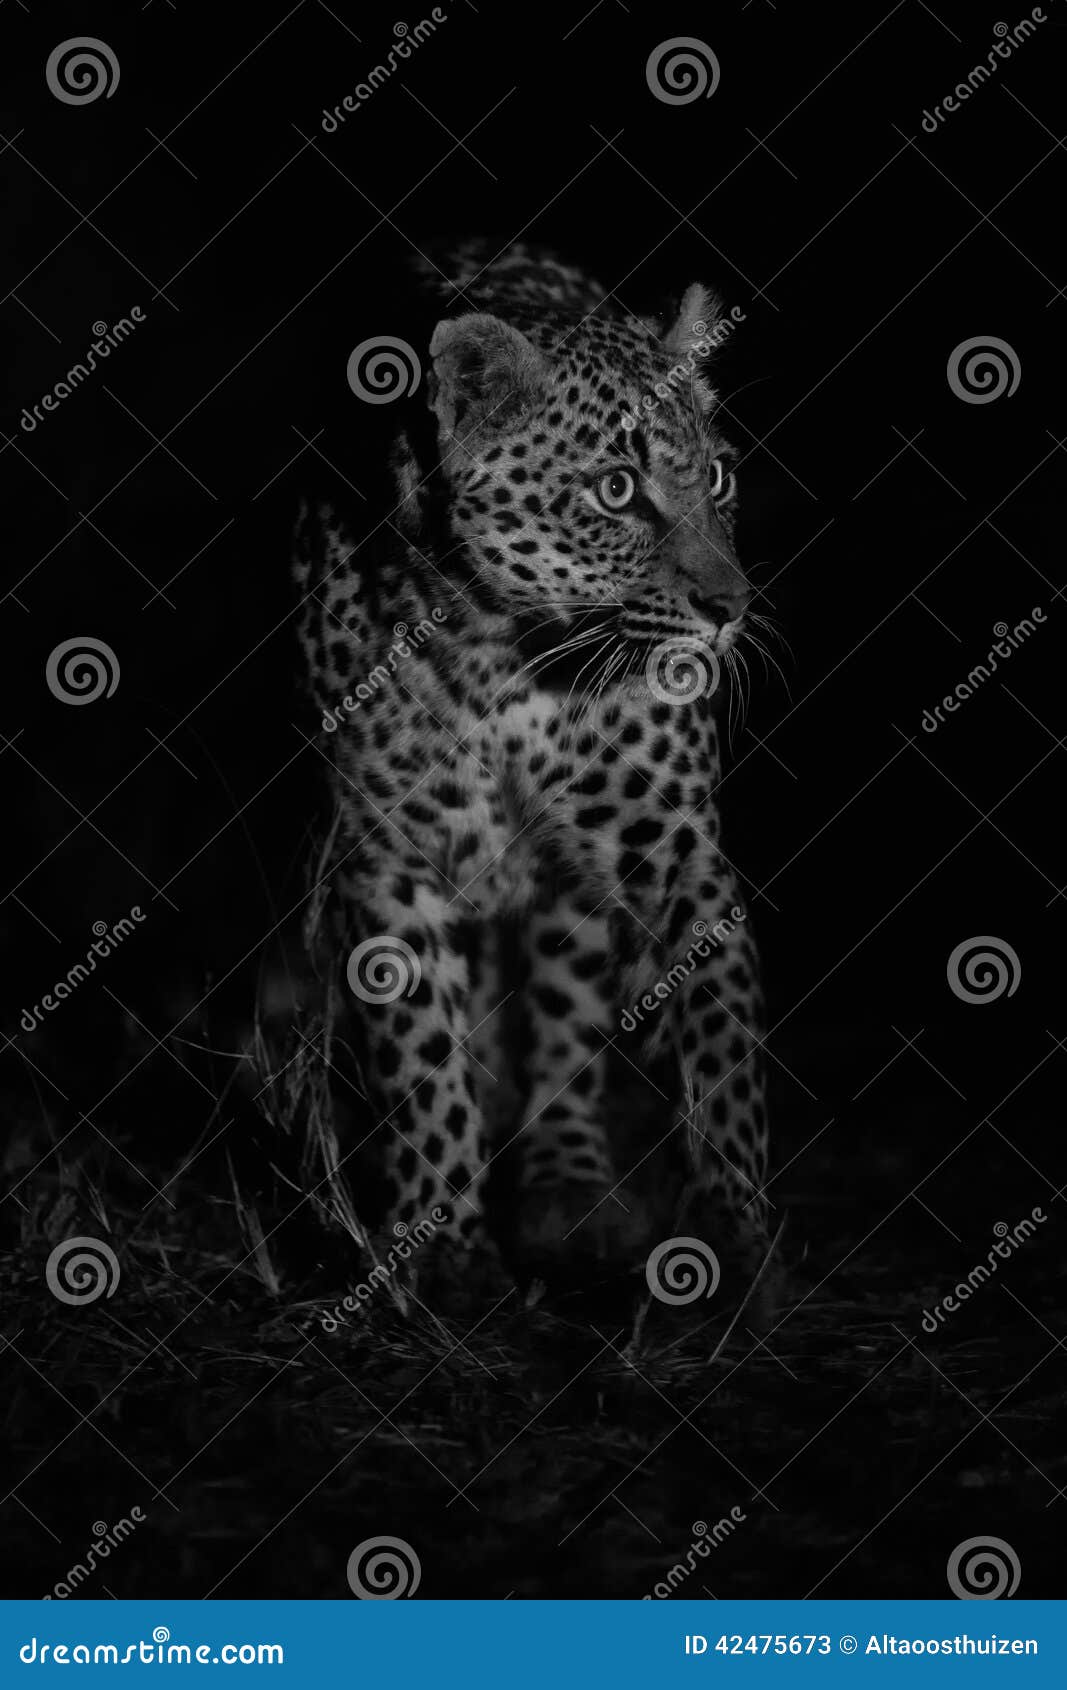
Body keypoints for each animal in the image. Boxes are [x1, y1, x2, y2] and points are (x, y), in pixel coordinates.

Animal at [291, 239, 772, 1296]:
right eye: (615, 490)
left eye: (718, 478)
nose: (731, 607)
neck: (506, 655)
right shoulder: (387, 864)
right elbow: (422, 1056)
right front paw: (442, 1241)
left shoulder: (677, 850)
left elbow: (722, 1036)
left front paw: (734, 1221)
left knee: (564, 1010)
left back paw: (567, 1183)